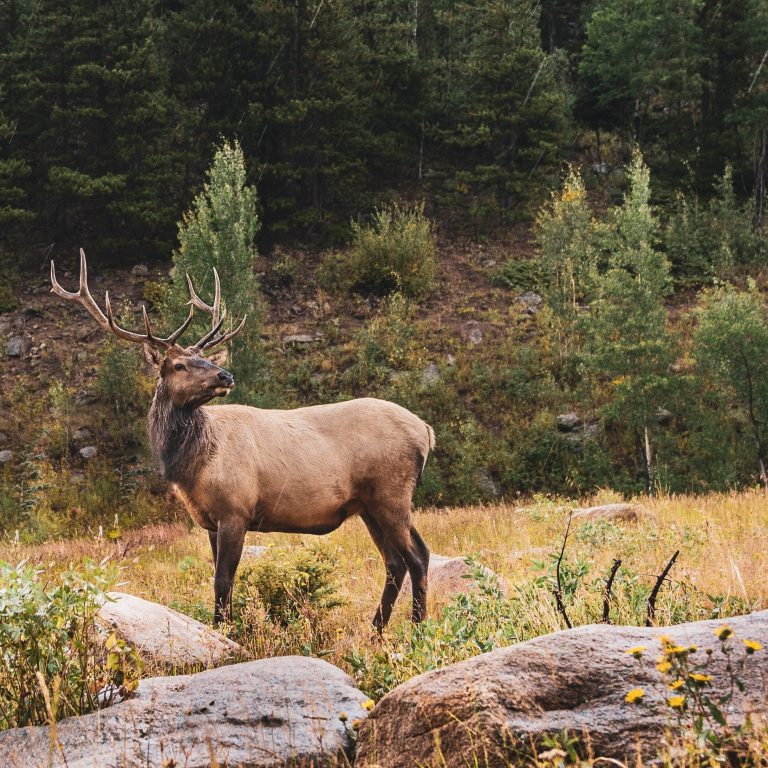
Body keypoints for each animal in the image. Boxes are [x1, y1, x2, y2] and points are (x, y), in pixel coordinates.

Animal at [51, 250, 434, 631]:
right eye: (179, 365)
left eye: (203, 358)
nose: (225, 375)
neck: (193, 466)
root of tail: (426, 431)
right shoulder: (210, 520)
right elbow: (224, 581)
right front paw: (227, 627)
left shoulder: (236, 509)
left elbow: (223, 580)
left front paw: (225, 631)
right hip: (369, 505)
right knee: (396, 562)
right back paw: (376, 630)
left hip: (391, 492)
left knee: (417, 556)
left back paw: (417, 628)